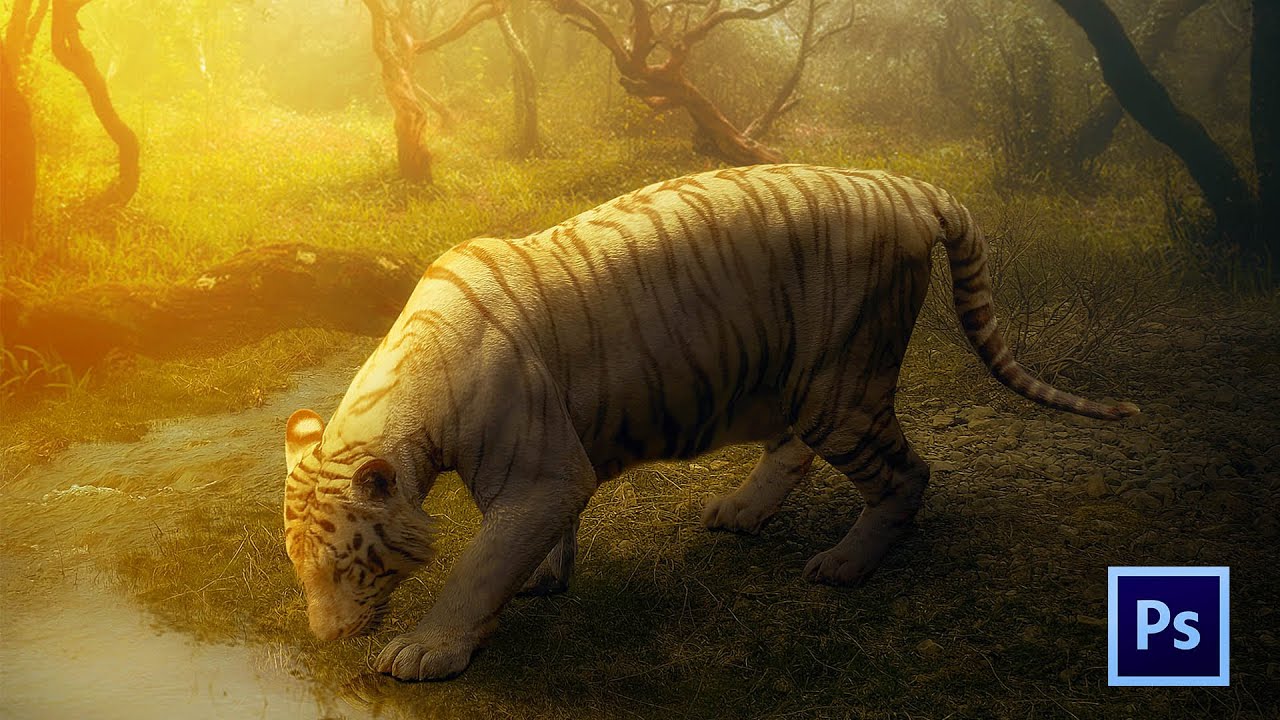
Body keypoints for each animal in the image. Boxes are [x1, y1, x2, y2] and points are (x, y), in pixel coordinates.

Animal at [282, 164, 1138, 681]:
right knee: (794, 449)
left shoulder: (540, 471)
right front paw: (547, 577)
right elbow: (534, 542)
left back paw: (844, 564)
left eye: (341, 567)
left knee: (905, 473)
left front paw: (425, 649)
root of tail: (905, 184)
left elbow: (481, 565)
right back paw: (742, 513)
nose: (325, 639)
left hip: (842, 382)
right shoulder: (554, 465)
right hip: (785, 374)